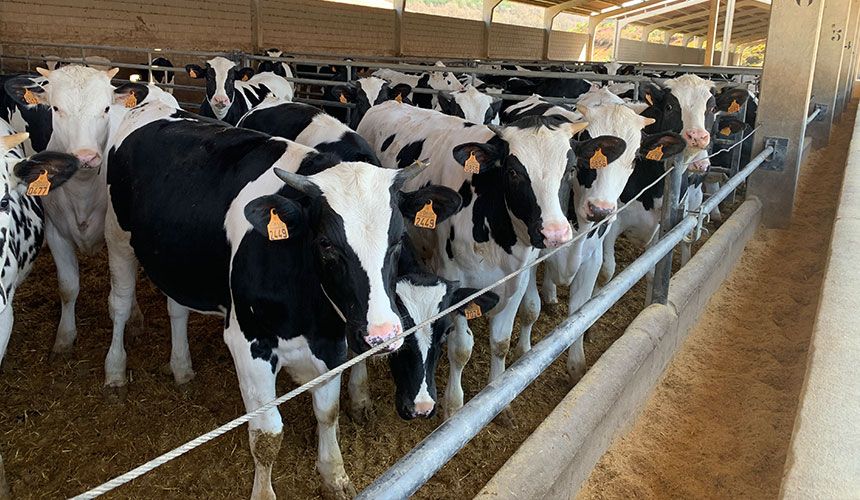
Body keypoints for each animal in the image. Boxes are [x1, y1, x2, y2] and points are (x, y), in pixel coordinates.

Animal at [358, 102, 628, 420]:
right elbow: (461, 349)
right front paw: (454, 408)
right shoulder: (456, 279)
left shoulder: (517, 279)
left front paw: (499, 401)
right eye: (512, 171)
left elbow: (500, 342)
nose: (555, 233)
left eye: (571, 169)